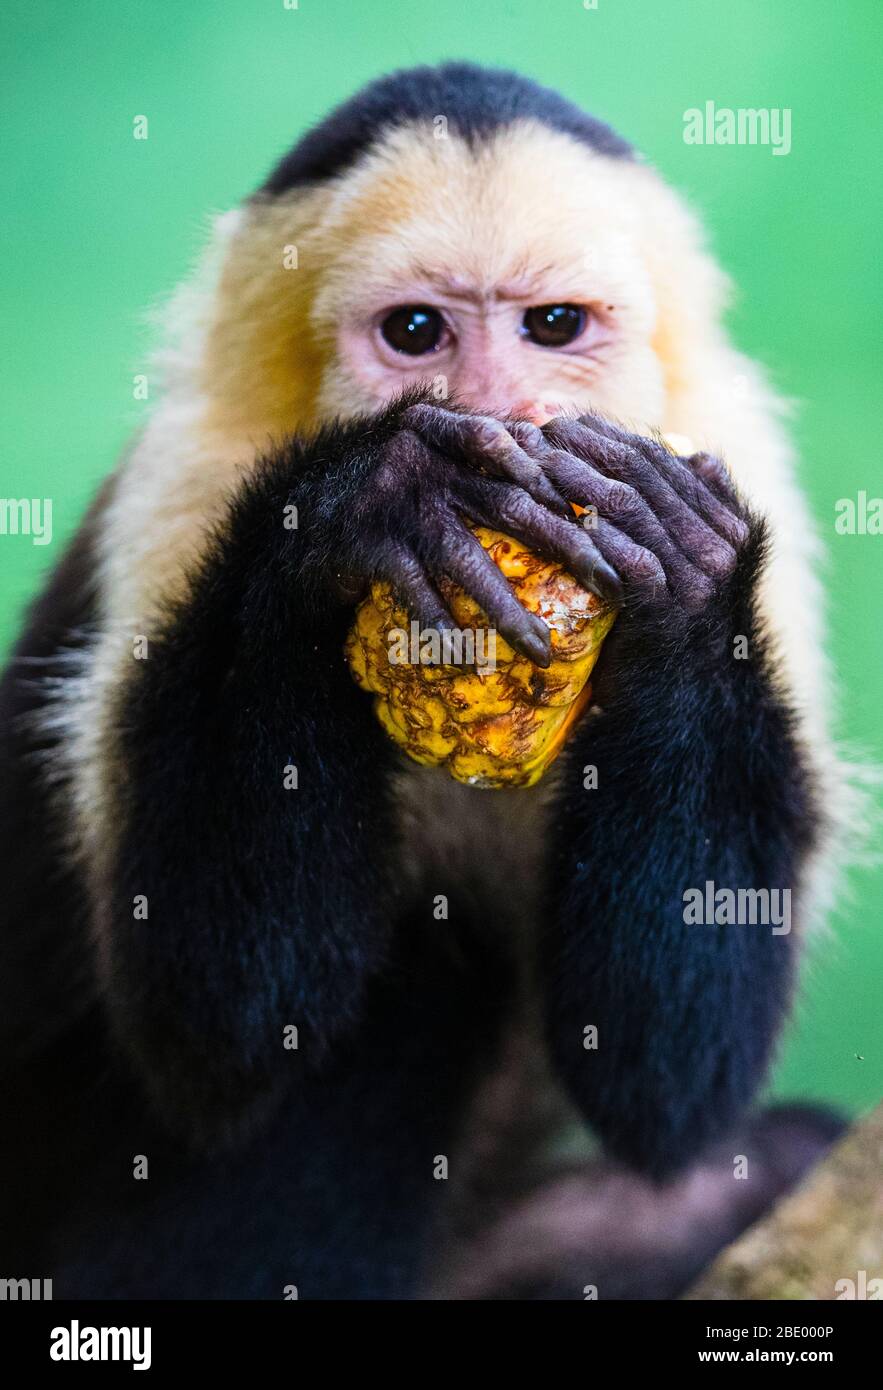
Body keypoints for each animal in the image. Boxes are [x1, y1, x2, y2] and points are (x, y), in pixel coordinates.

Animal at [0, 61, 851, 1299]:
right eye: (415, 332)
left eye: (552, 326)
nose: (493, 418)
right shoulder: (183, 490)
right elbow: (212, 1032)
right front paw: (370, 496)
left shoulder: (738, 462)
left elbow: (668, 1092)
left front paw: (684, 575)